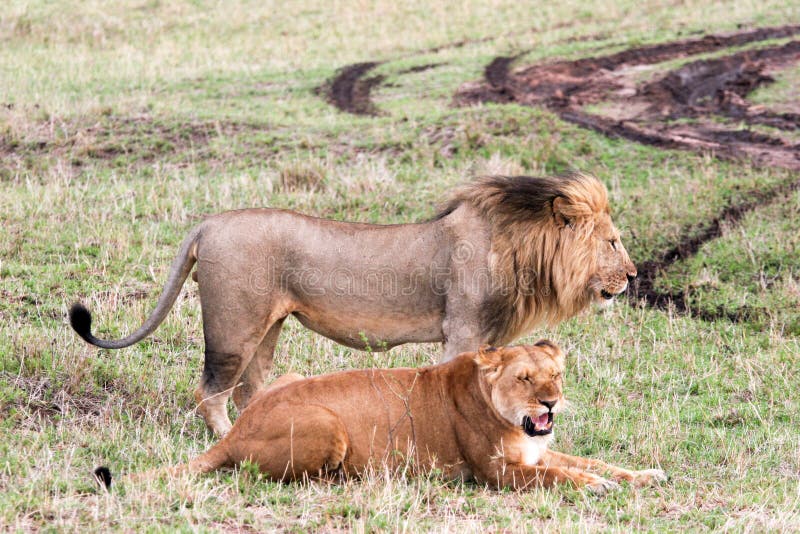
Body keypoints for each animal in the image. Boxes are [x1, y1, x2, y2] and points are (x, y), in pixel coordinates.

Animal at [70, 172, 636, 435]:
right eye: (613, 242)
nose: (632, 276)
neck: (518, 249)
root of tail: (209, 223)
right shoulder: (462, 332)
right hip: (235, 325)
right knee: (210, 392)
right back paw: (228, 441)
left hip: (268, 326)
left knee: (251, 390)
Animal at [95, 342, 665, 494]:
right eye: (525, 379)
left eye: (556, 375)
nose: (550, 403)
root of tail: (235, 431)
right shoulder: (498, 473)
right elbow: (562, 475)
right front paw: (596, 488)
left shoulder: (535, 449)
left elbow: (592, 461)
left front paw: (644, 474)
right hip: (329, 426)